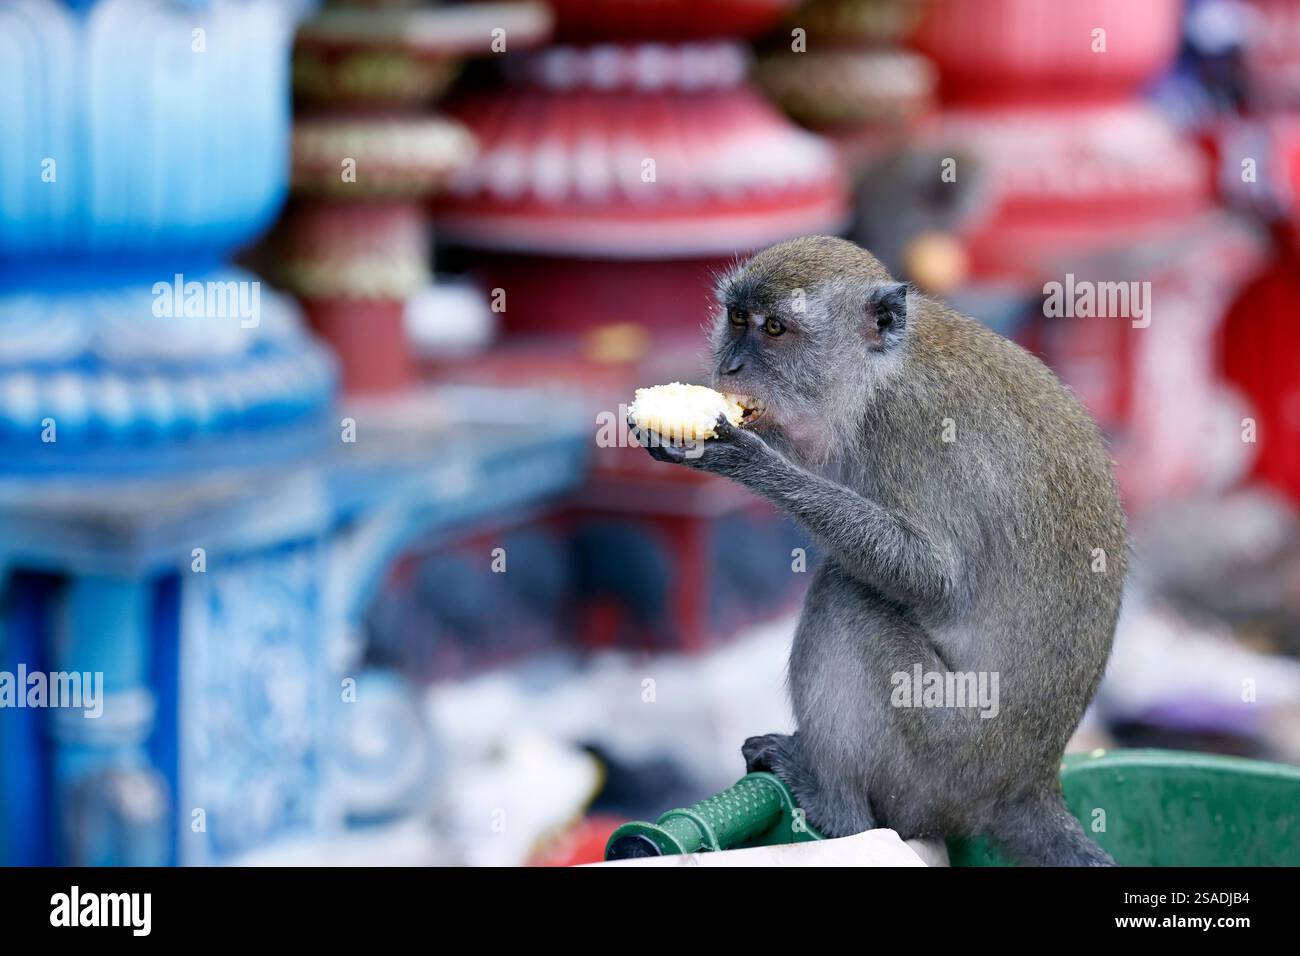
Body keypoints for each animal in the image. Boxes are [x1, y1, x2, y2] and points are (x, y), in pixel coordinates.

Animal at [629, 236, 1126, 866]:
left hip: (934, 755)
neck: (876, 376)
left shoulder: (915, 426)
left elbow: (933, 577)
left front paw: (743, 458)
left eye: (775, 330)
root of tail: (1025, 784)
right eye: (738, 319)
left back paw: (835, 806)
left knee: (844, 596)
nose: (730, 366)